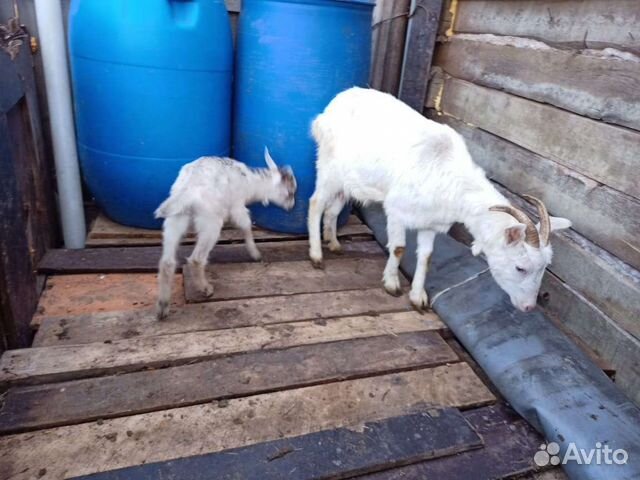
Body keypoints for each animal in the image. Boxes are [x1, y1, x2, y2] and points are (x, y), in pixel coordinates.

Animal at [155, 149, 297, 320]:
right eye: (290, 192)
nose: (291, 207)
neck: (251, 181)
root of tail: (189, 189)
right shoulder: (237, 205)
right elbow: (246, 225)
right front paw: (255, 253)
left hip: (176, 218)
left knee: (167, 262)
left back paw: (163, 306)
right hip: (211, 221)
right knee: (196, 259)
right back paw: (205, 288)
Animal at [308, 87, 571, 312]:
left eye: (544, 268)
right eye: (520, 268)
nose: (528, 307)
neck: (447, 173)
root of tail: (332, 105)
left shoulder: (431, 223)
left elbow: (426, 257)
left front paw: (418, 298)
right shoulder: (396, 211)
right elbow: (399, 248)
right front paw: (392, 284)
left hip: (348, 180)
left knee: (333, 208)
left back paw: (333, 242)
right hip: (328, 167)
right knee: (316, 203)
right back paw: (317, 255)